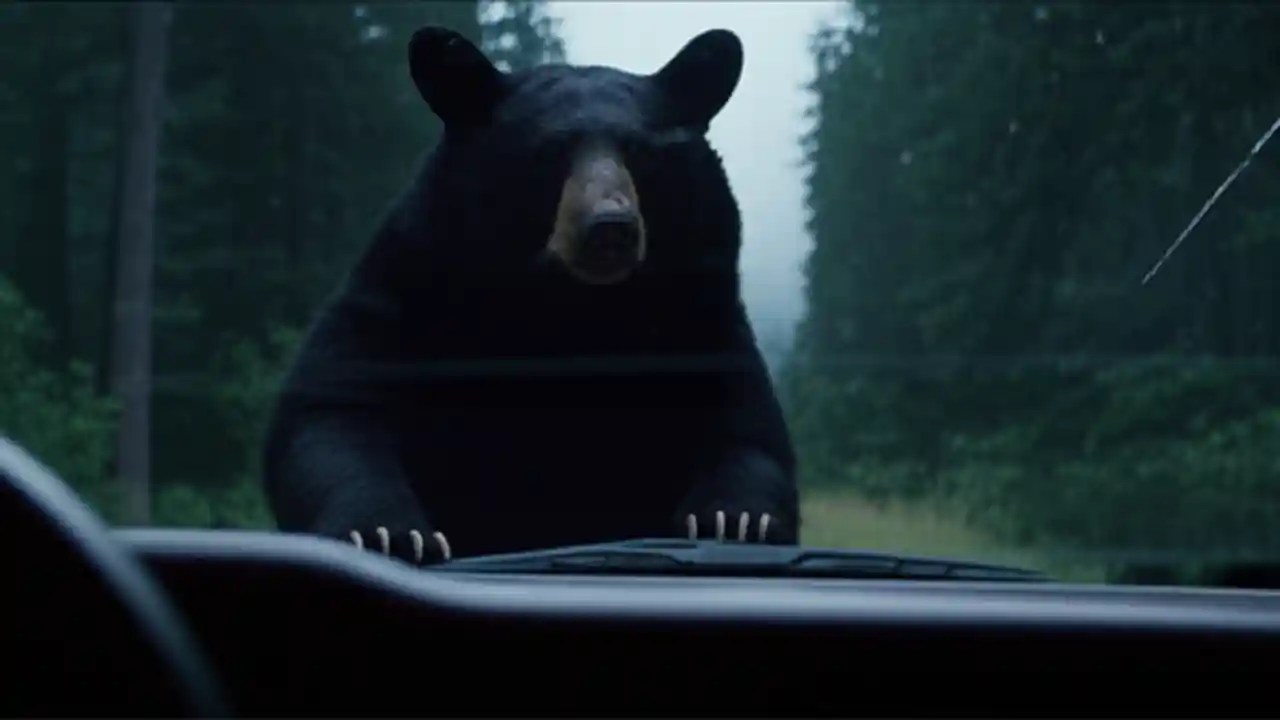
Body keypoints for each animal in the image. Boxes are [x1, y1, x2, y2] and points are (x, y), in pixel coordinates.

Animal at [260, 25, 801, 565]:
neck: (563, 308)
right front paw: (387, 533)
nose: (611, 227)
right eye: (549, 151)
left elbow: (749, 431)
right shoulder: (407, 298)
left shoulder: (704, 323)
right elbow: (333, 411)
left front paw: (736, 521)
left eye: (641, 152)